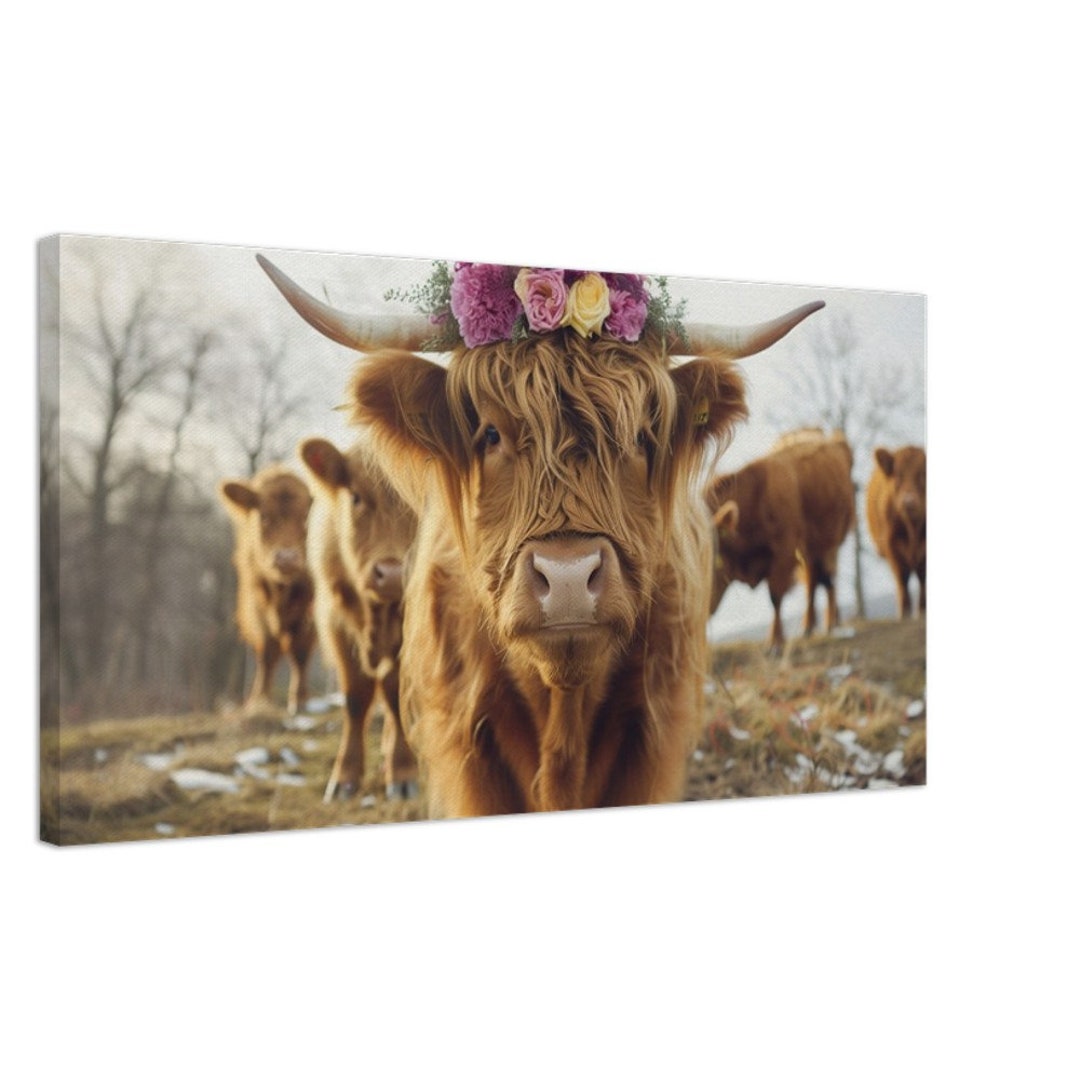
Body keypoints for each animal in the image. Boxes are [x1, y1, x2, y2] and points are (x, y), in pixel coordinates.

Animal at [218, 465, 315, 716]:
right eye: (264, 516)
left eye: (306, 517)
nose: (287, 558)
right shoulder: (257, 603)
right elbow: (267, 651)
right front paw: (260, 699)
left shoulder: (310, 610)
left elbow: (300, 652)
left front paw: (299, 700)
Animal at [300, 436, 419, 801]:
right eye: (355, 497)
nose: (392, 573)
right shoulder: (337, 624)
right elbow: (356, 698)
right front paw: (345, 778)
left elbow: (394, 692)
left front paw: (403, 772)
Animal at [707, 428, 855, 653]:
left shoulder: (784, 553)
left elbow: (775, 596)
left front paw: (775, 643)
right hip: (810, 550)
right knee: (814, 580)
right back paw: (809, 625)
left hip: (829, 542)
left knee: (827, 579)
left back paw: (830, 622)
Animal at [866, 445, 926, 618]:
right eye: (897, 475)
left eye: (923, 474)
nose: (908, 502)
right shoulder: (892, 547)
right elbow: (902, 581)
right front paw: (904, 614)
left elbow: (923, 580)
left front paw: (922, 611)